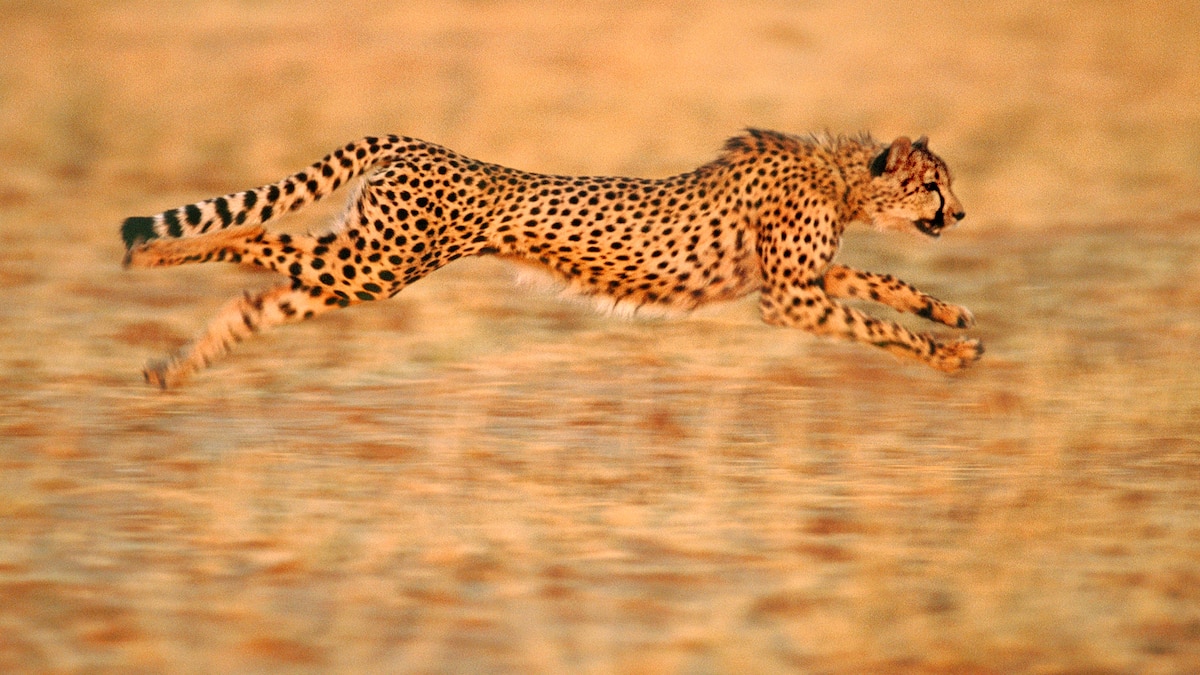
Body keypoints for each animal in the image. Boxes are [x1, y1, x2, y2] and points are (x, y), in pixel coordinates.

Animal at [120, 129, 981, 388]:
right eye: (934, 184)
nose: (962, 213)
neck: (842, 173)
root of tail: (414, 142)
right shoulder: (788, 296)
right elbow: (876, 324)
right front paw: (943, 353)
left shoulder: (802, 277)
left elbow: (883, 282)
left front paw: (952, 317)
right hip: (379, 262)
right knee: (248, 238)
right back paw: (154, 255)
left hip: (358, 262)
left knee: (255, 297)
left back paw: (170, 367)